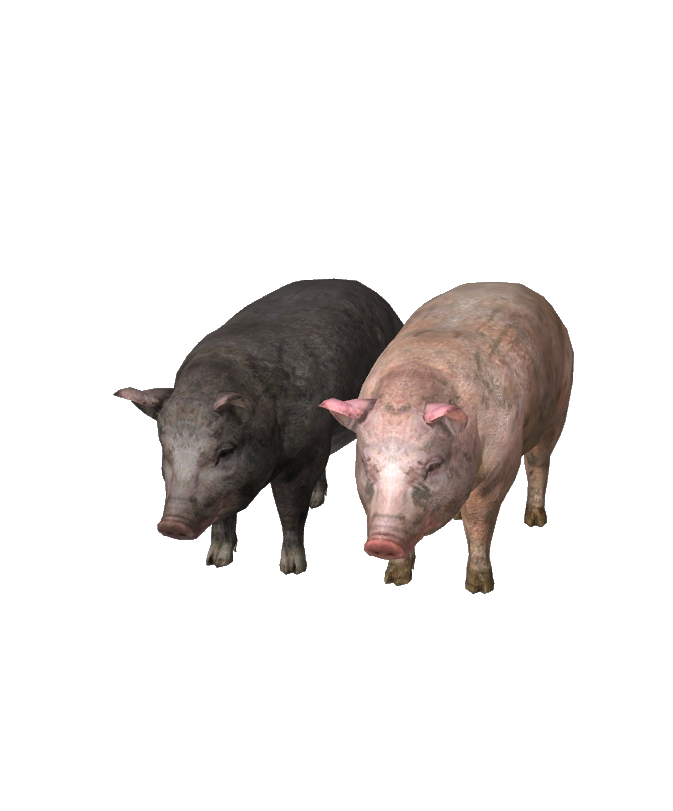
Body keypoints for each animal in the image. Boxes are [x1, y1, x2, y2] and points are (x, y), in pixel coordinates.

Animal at [114, 280, 402, 573]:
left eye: (225, 452)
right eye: (167, 450)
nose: (172, 525)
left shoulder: (302, 457)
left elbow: (289, 509)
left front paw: (292, 568)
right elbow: (222, 516)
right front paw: (216, 562)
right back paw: (316, 501)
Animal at [320, 282, 573, 592]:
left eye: (434, 466)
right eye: (367, 464)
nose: (381, 543)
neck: (411, 384)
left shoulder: (498, 469)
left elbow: (478, 520)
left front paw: (479, 587)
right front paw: (395, 580)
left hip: (558, 409)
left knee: (539, 461)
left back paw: (535, 520)